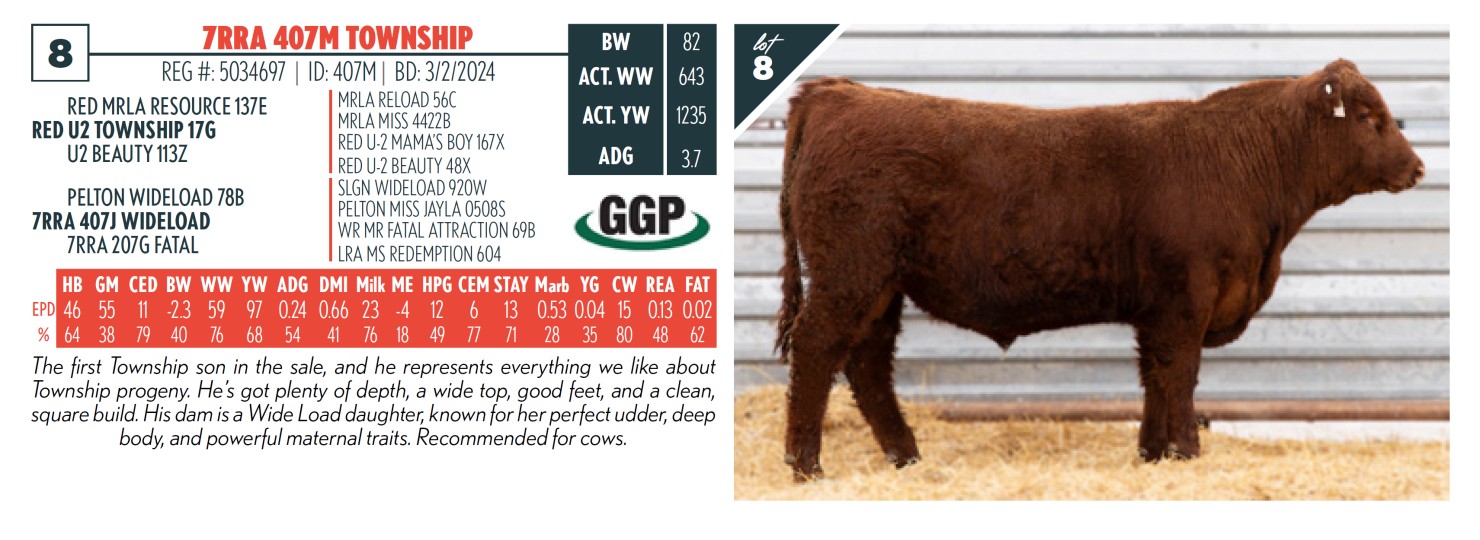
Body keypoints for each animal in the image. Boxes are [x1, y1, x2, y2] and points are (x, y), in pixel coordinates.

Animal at [774, 59, 1425, 481]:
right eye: (1368, 118)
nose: (1418, 168)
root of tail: (837, 93)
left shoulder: (1159, 307)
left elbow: (1155, 376)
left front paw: (1153, 453)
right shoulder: (1187, 297)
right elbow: (1181, 374)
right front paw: (1187, 453)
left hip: (882, 286)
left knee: (867, 364)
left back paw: (905, 456)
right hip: (849, 274)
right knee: (817, 349)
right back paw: (806, 465)